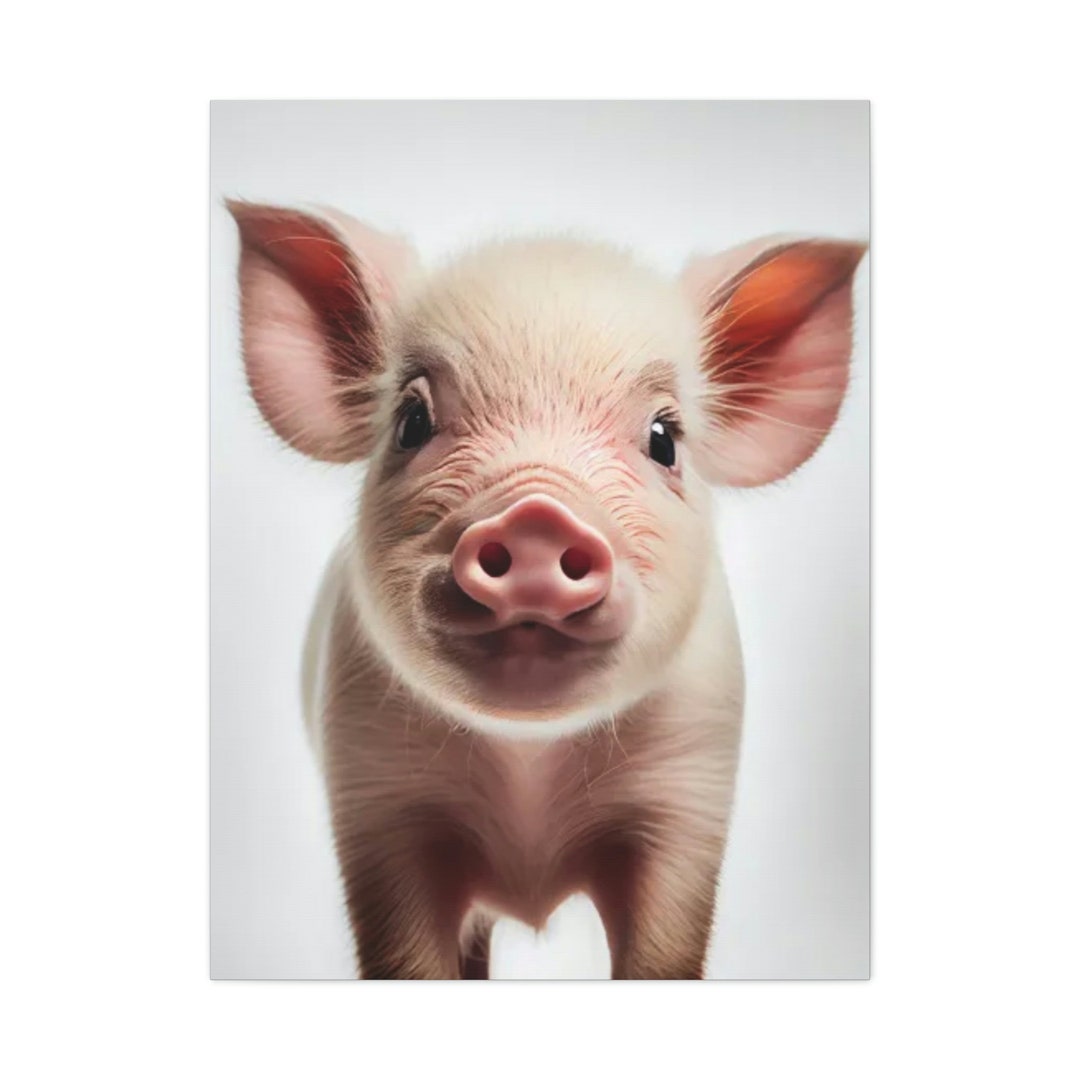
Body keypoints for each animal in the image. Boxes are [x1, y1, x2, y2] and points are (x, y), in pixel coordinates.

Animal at [226, 199, 867, 979]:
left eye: (665, 439)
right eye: (411, 421)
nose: (536, 516)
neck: (527, 762)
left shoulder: (691, 791)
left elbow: (663, 953)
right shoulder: (374, 796)